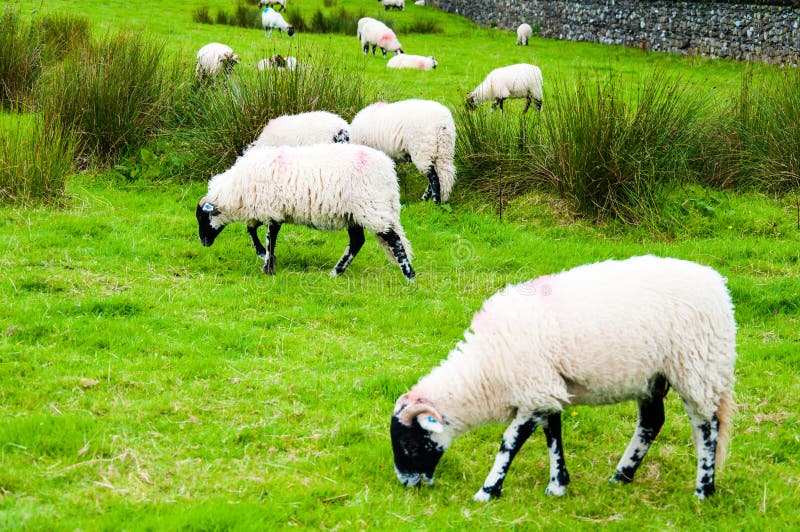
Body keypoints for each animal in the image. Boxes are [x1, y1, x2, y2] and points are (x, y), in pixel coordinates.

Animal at [196, 144, 415, 280]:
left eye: (202, 218)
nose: (203, 243)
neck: (236, 190)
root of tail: (389, 172)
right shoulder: (267, 209)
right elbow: (253, 230)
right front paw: (264, 257)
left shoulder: (271, 209)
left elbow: (269, 237)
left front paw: (267, 266)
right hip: (355, 213)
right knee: (357, 242)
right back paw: (335, 273)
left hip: (370, 207)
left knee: (393, 238)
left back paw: (409, 276)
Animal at [391, 255, 737, 501]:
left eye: (408, 442)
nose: (406, 484)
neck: (486, 371)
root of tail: (718, 285)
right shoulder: (546, 389)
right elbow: (553, 435)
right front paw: (557, 485)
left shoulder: (533, 389)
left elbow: (510, 442)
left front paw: (487, 491)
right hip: (653, 375)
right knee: (652, 422)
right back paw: (620, 476)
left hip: (697, 367)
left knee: (708, 427)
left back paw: (703, 490)